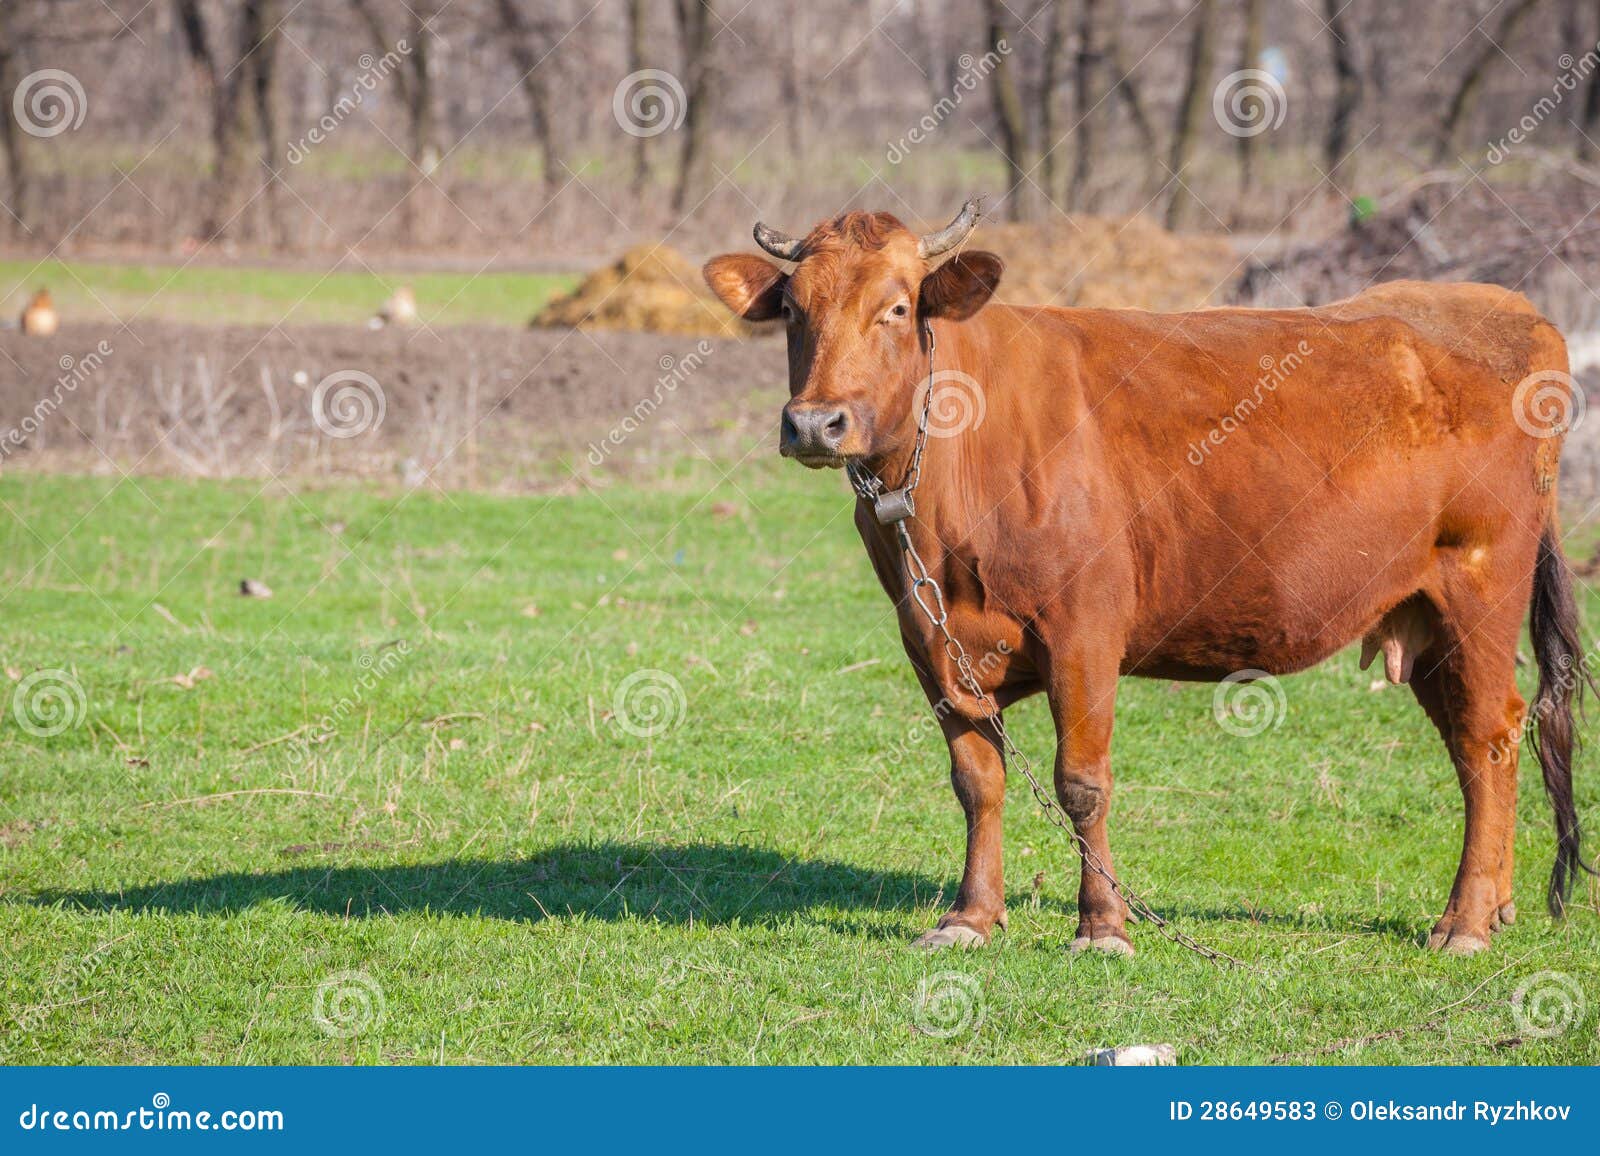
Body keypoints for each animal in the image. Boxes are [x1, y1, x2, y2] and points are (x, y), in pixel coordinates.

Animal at [703, 200, 1592, 957]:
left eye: (894, 308)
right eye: (794, 310)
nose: (815, 424)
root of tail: (1511, 310)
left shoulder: (1084, 631)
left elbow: (1081, 783)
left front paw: (1103, 926)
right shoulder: (931, 639)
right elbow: (977, 782)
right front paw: (969, 918)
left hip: (1479, 587)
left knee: (1487, 737)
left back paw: (1464, 923)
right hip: (1425, 617)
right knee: (1480, 742)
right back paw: (1495, 905)